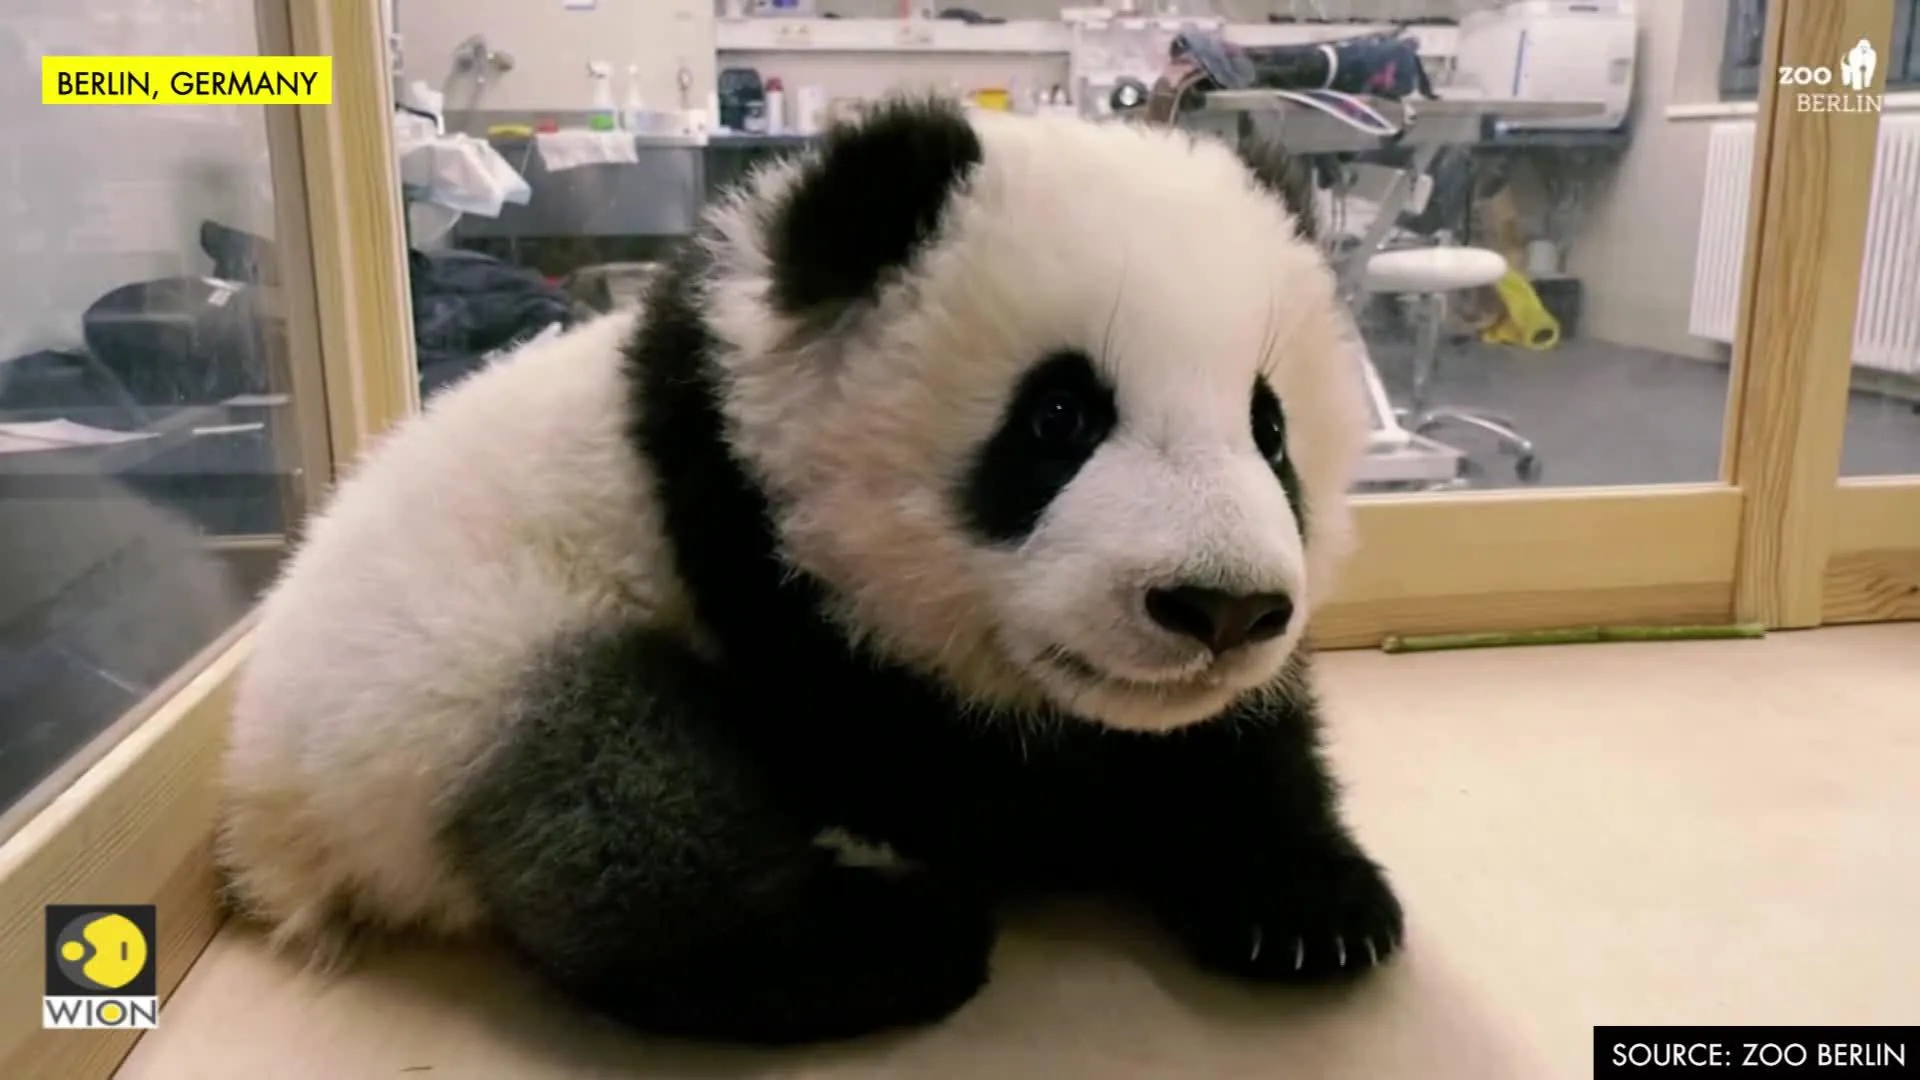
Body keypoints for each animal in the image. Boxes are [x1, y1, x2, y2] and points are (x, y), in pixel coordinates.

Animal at [216, 94, 1398, 1047]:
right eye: (1057, 418)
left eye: (1270, 428)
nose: (1221, 609)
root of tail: (268, 819)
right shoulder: (752, 555)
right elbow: (951, 775)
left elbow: (1225, 743)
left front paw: (1312, 909)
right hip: (447, 676)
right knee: (620, 810)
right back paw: (886, 935)